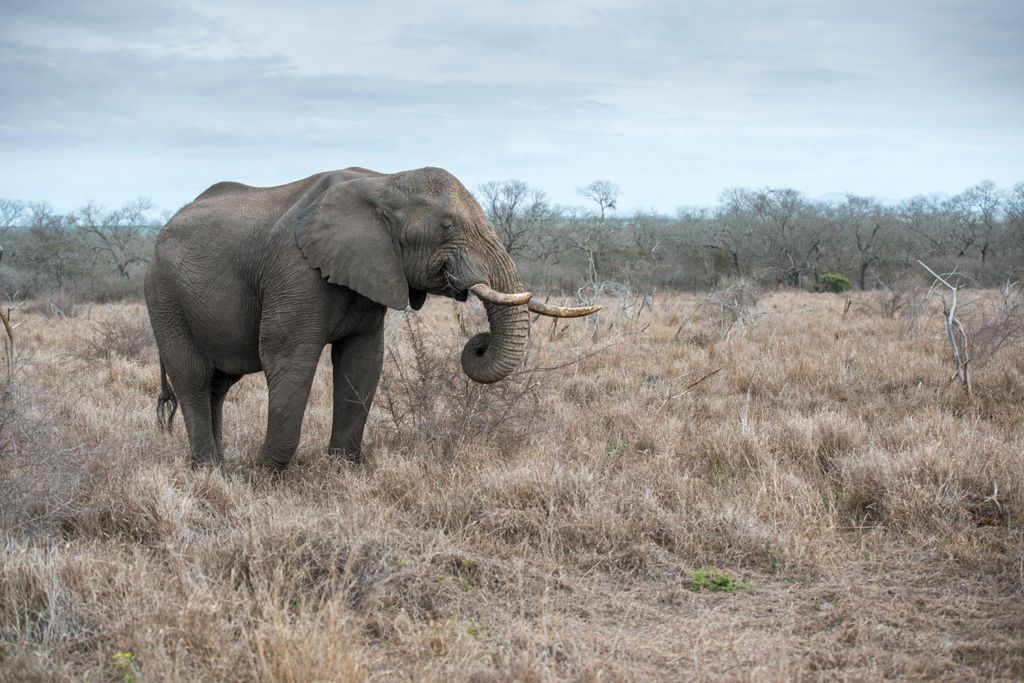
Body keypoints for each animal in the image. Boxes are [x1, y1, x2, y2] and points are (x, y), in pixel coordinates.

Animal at [144, 166, 599, 470]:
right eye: (447, 227)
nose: (479, 343)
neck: (384, 180)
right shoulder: (295, 270)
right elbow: (289, 360)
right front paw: (265, 475)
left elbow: (363, 362)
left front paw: (342, 469)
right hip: (164, 297)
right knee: (193, 378)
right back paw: (211, 471)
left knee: (218, 385)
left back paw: (217, 469)